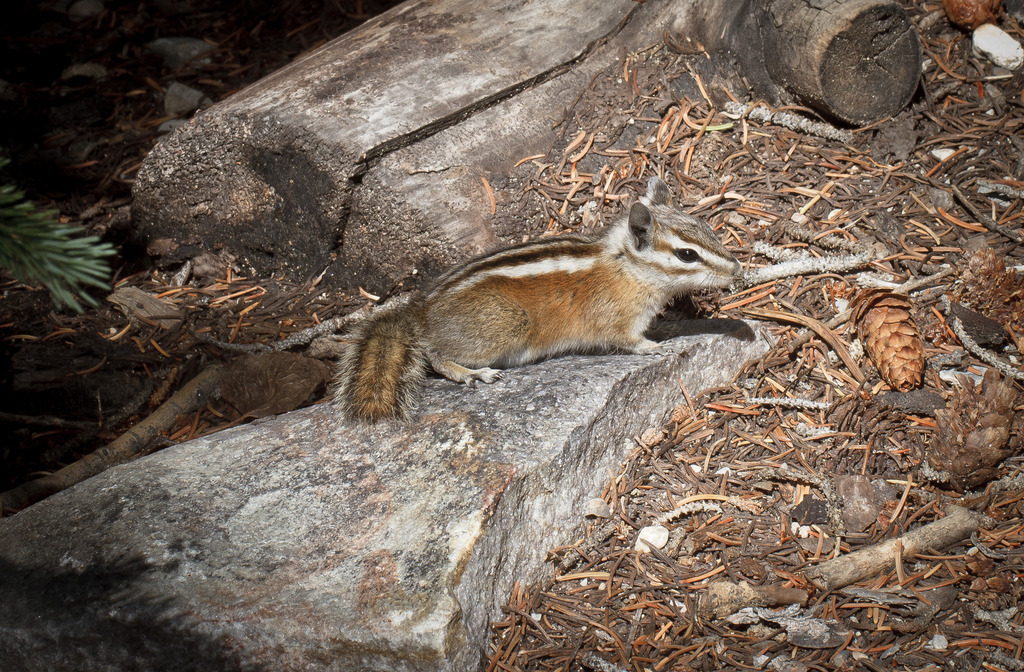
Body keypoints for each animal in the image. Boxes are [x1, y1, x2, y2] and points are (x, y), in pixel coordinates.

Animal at [334, 176, 741, 422]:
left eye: (706, 227)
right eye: (687, 255)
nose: (737, 268)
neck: (626, 265)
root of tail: (422, 310)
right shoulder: (615, 319)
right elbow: (626, 340)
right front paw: (654, 347)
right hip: (506, 324)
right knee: (434, 354)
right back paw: (472, 374)